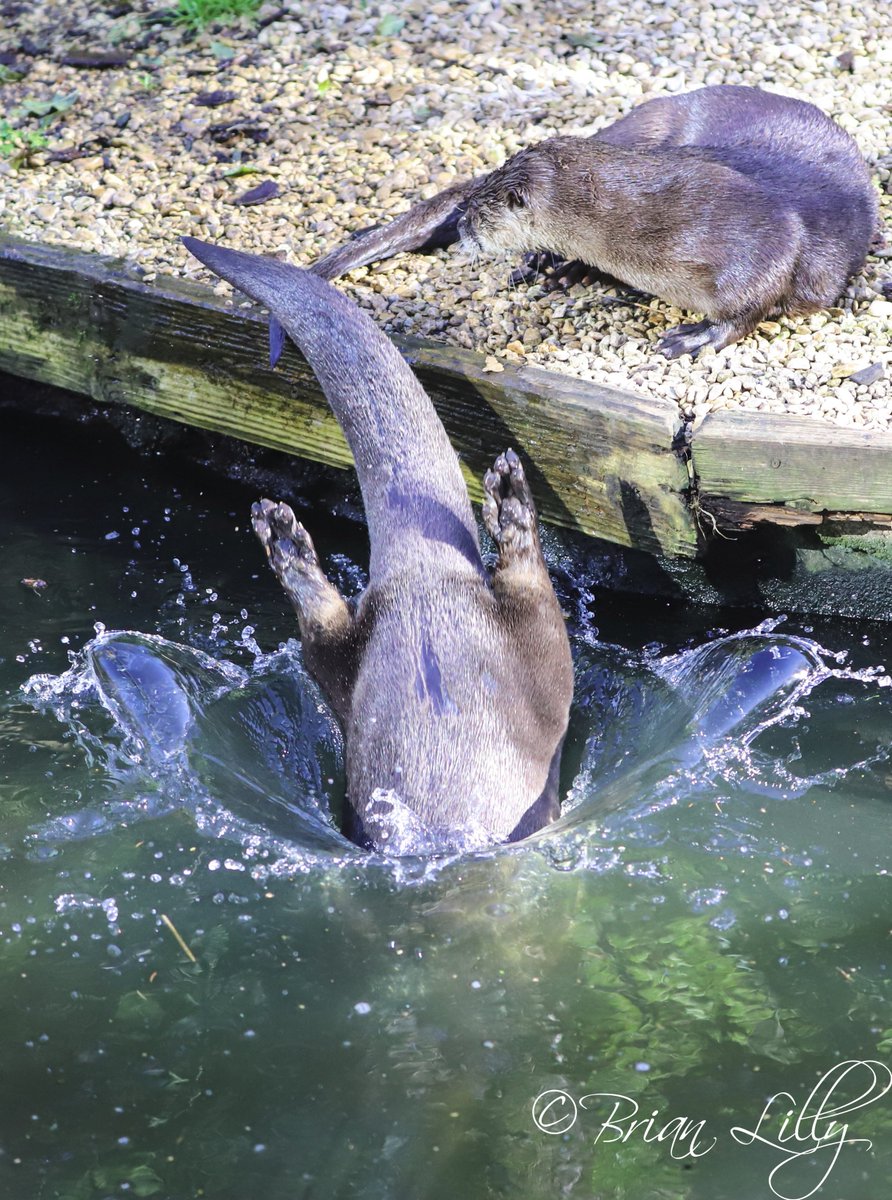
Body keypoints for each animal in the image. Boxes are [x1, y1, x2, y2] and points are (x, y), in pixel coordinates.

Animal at [182, 237, 574, 854]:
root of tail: (421, 574)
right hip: (534, 665)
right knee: (532, 596)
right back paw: (509, 502)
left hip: (355, 676)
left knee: (325, 643)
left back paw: (283, 540)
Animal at [310, 85, 880, 359]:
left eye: (476, 212)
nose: (465, 225)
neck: (639, 220)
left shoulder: (757, 235)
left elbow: (753, 302)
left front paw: (695, 339)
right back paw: (559, 265)